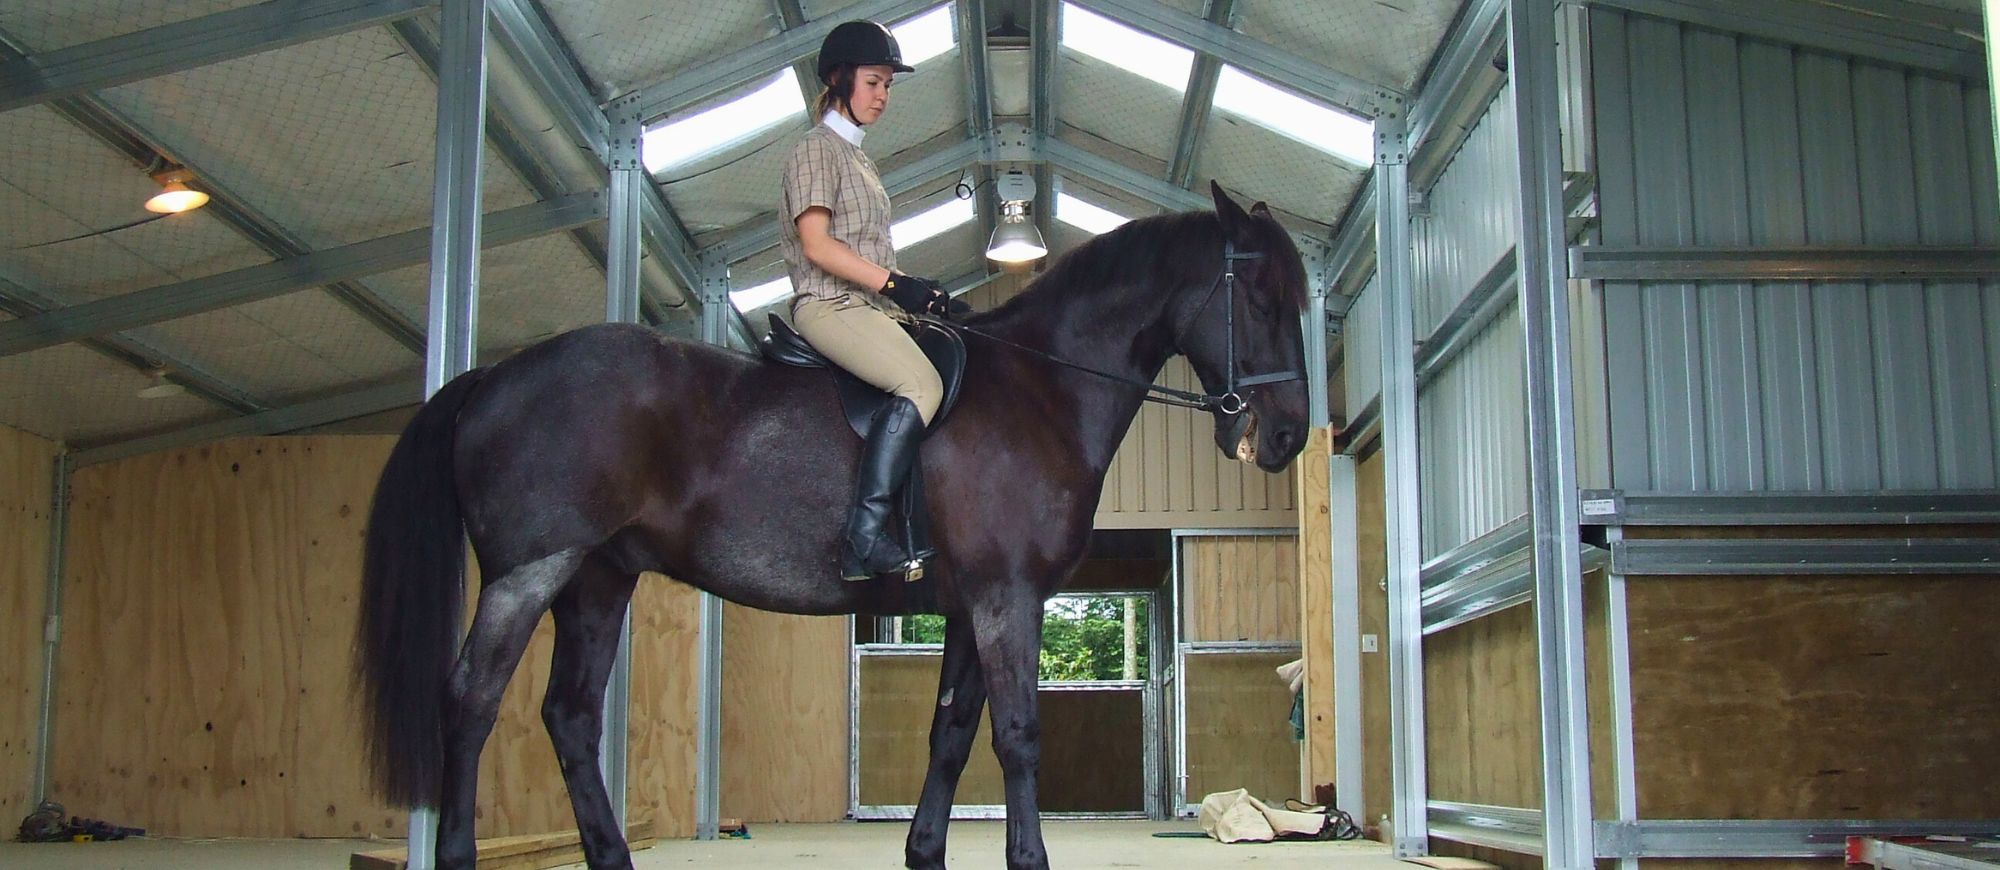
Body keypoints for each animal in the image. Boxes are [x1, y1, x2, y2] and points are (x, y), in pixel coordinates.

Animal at [356, 182, 1312, 870]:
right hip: (531, 572)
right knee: (472, 702)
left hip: (597, 578)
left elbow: (951, 736)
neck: (1039, 388)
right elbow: (1016, 735)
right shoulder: (1007, 598)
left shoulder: (969, 605)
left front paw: (924, 852)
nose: (1289, 437)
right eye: (1263, 297)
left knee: (569, 717)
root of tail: (495, 376)